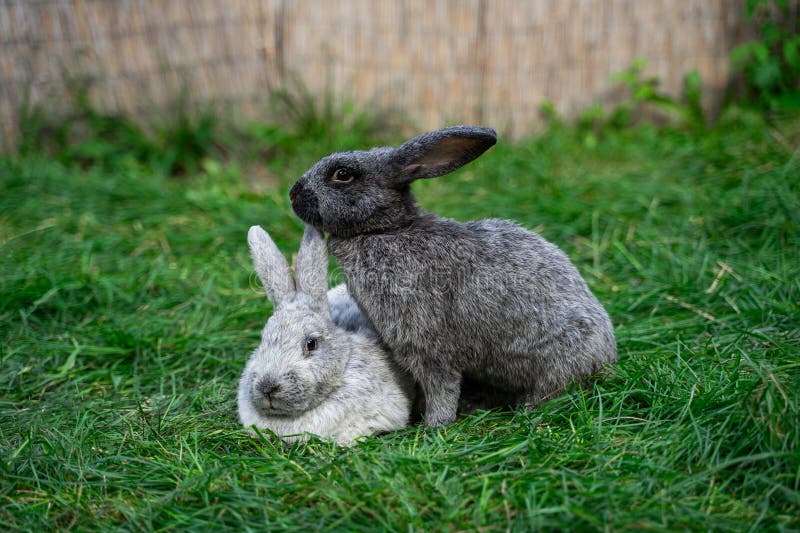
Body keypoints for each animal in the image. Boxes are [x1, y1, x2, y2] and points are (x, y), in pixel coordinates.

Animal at [288, 126, 618, 427]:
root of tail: (606, 354)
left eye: (343, 174)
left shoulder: (429, 347)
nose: (293, 193)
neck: (385, 230)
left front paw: (434, 426)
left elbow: (441, 388)